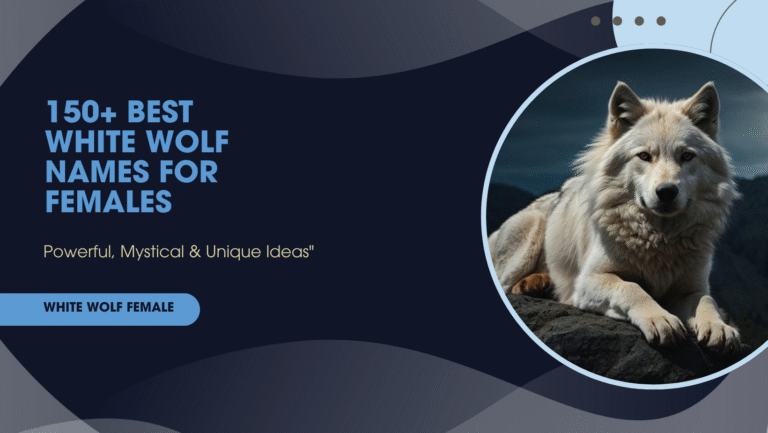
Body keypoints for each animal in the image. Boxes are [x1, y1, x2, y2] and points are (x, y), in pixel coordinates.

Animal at [489, 82, 741, 352]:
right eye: (644, 156)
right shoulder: (589, 281)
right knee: (506, 284)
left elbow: (707, 301)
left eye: (686, 156)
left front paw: (718, 327)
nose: (666, 192)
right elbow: (632, 288)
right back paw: (532, 284)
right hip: (532, 226)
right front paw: (659, 319)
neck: (659, 238)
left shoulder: (691, 289)